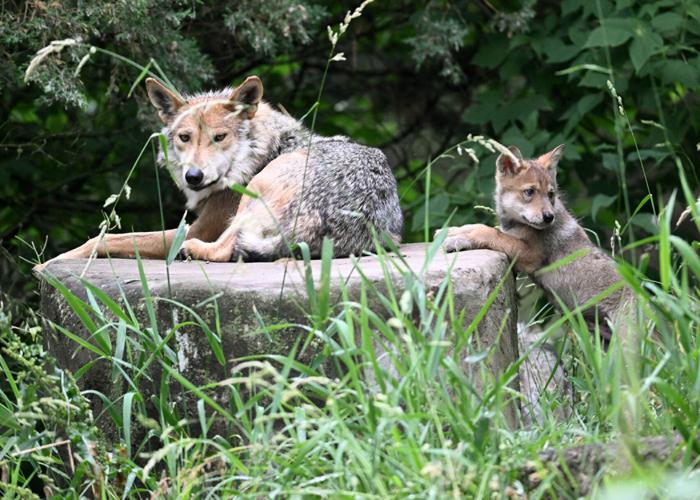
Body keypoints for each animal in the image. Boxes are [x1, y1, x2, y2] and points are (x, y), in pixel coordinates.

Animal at [36, 76, 403, 269]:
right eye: (185, 138)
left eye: (219, 137)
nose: (194, 177)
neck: (262, 150)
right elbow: (108, 237)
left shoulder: (199, 227)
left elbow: (106, 238)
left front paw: (49, 264)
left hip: (255, 193)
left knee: (224, 250)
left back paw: (193, 252)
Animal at [440, 144, 631, 341]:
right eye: (529, 192)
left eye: (551, 194)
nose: (549, 217)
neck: (516, 225)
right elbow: (479, 226)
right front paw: (450, 231)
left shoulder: (529, 255)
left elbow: (488, 231)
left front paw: (458, 239)